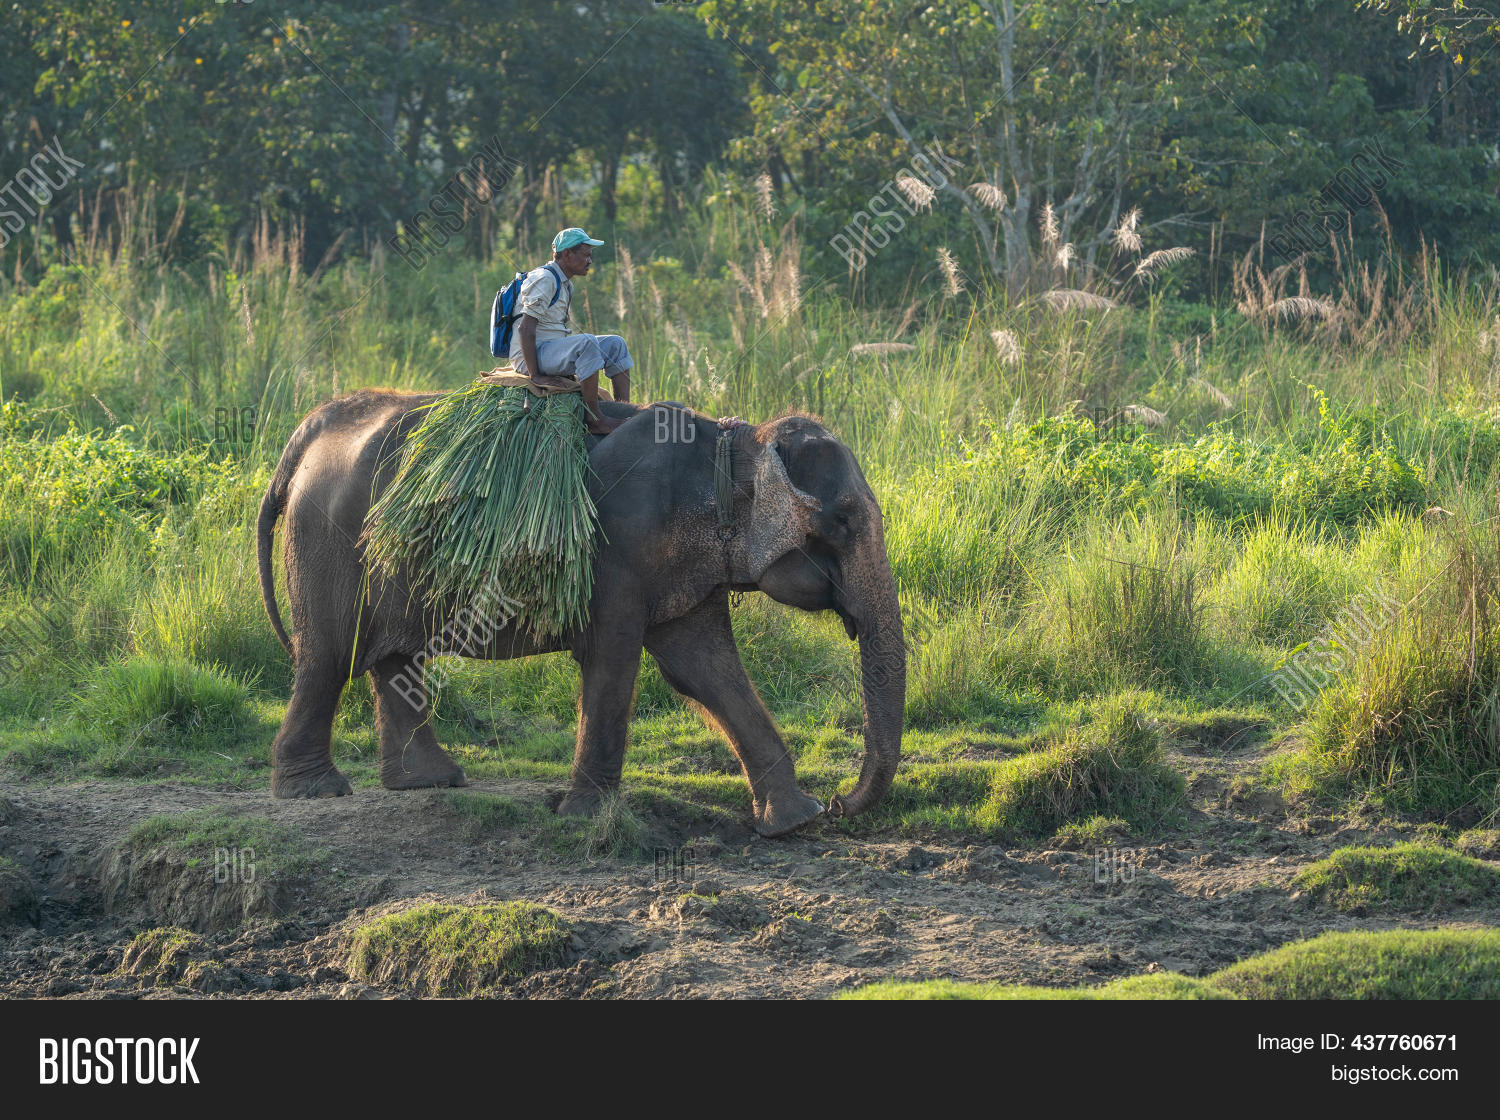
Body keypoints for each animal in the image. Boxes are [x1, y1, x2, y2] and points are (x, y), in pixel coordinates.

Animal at [256, 390, 905, 837]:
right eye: (843, 521)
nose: (841, 801)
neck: (736, 439)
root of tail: (309, 431)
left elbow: (706, 669)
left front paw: (794, 821)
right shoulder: (615, 544)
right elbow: (612, 659)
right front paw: (585, 816)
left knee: (394, 660)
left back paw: (430, 780)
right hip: (327, 541)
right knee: (330, 659)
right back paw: (315, 792)